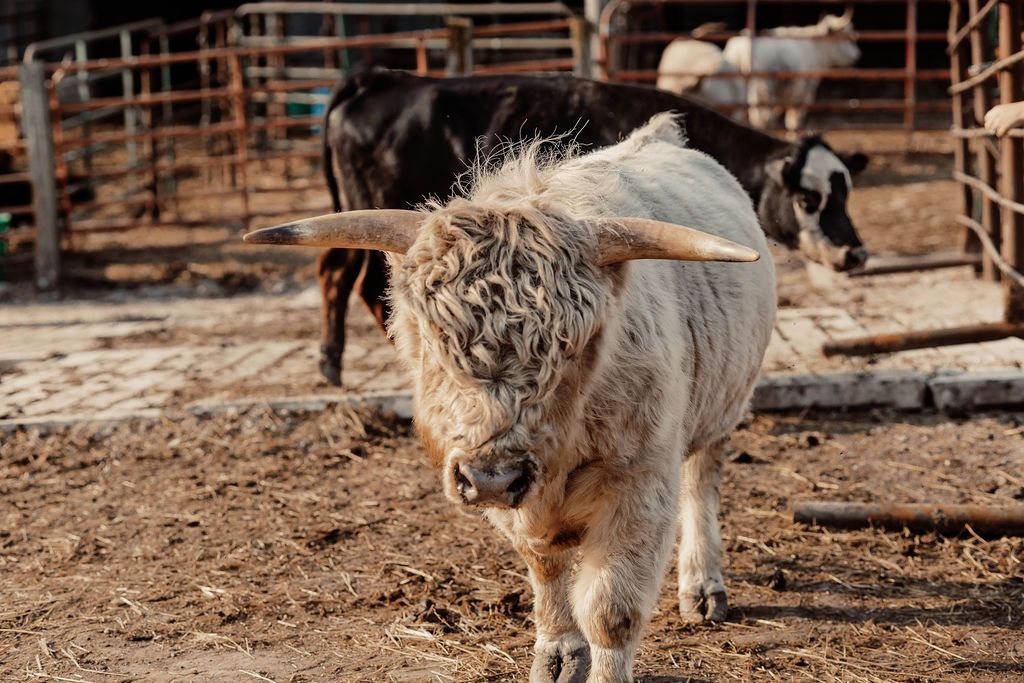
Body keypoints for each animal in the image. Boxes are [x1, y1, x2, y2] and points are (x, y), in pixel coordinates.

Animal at [247, 112, 776, 683]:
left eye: (572, 345)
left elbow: (611, 610)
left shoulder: (640, 482)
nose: (491, 478)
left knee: (702, 483)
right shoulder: (520, 509)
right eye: (434, 341)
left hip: (722, 409)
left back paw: (702, 586)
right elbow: (545, 567)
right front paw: (558, 651)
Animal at [316, 68, 867, 386]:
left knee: (338, 275)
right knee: (354, 281)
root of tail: (378, 78)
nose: (855, 254)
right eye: (809, 198)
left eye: (846, 192)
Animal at [657, 9, 861, 131]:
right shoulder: (804, 92)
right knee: (762, 119)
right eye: (847, 37)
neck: (813, 47)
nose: (857, 56)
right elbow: (794, 121)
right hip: (761, 90)